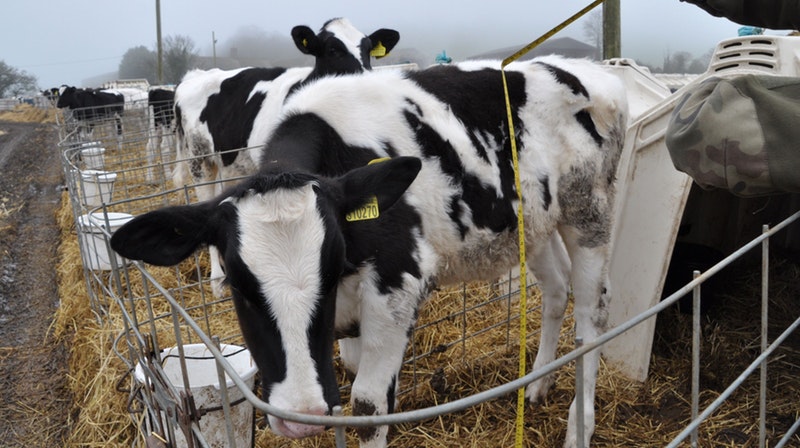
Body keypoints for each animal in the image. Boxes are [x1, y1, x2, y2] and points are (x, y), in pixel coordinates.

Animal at [110, 56, 628, 448]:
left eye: (332, 266)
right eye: (238, 284)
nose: (300, 415)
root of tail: (591, 71)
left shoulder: (397, 284)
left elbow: (367, 405)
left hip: (590, 211)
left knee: (593, 314)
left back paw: (580, 424)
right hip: (532, 224)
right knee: (557, 292)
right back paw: (538, 382)